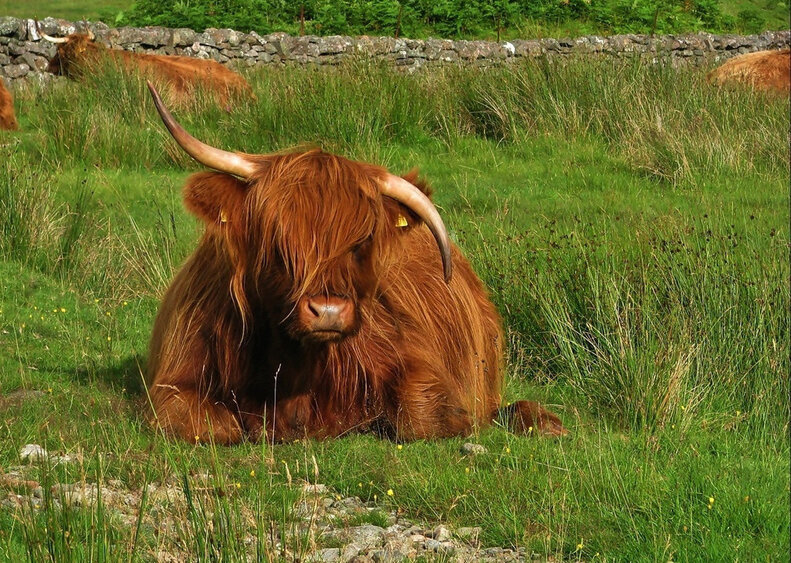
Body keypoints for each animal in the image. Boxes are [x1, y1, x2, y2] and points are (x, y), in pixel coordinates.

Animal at [145, 82, 567, 445]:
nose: (328, 310)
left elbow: (422, 415)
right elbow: (213, 426)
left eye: (361, 242)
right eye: (276, 240)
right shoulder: (175, 379)